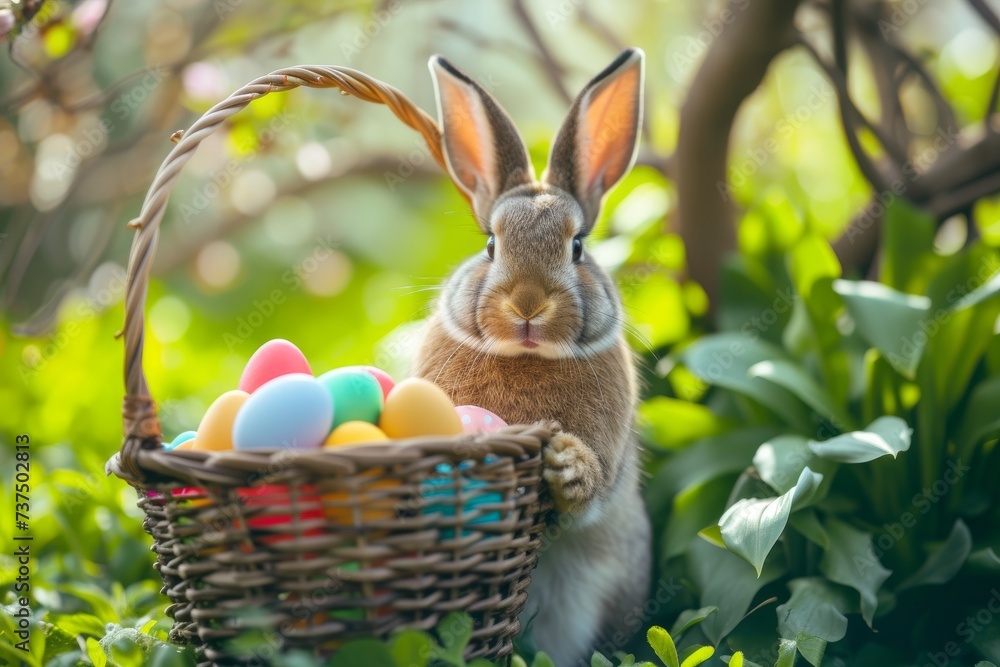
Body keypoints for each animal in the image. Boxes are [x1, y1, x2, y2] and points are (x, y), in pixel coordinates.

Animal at [411, 48, 651, 666]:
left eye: (578, 247)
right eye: (490, 245)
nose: (527, 304)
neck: (527, 356)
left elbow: (588, 494)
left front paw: (566, 463)